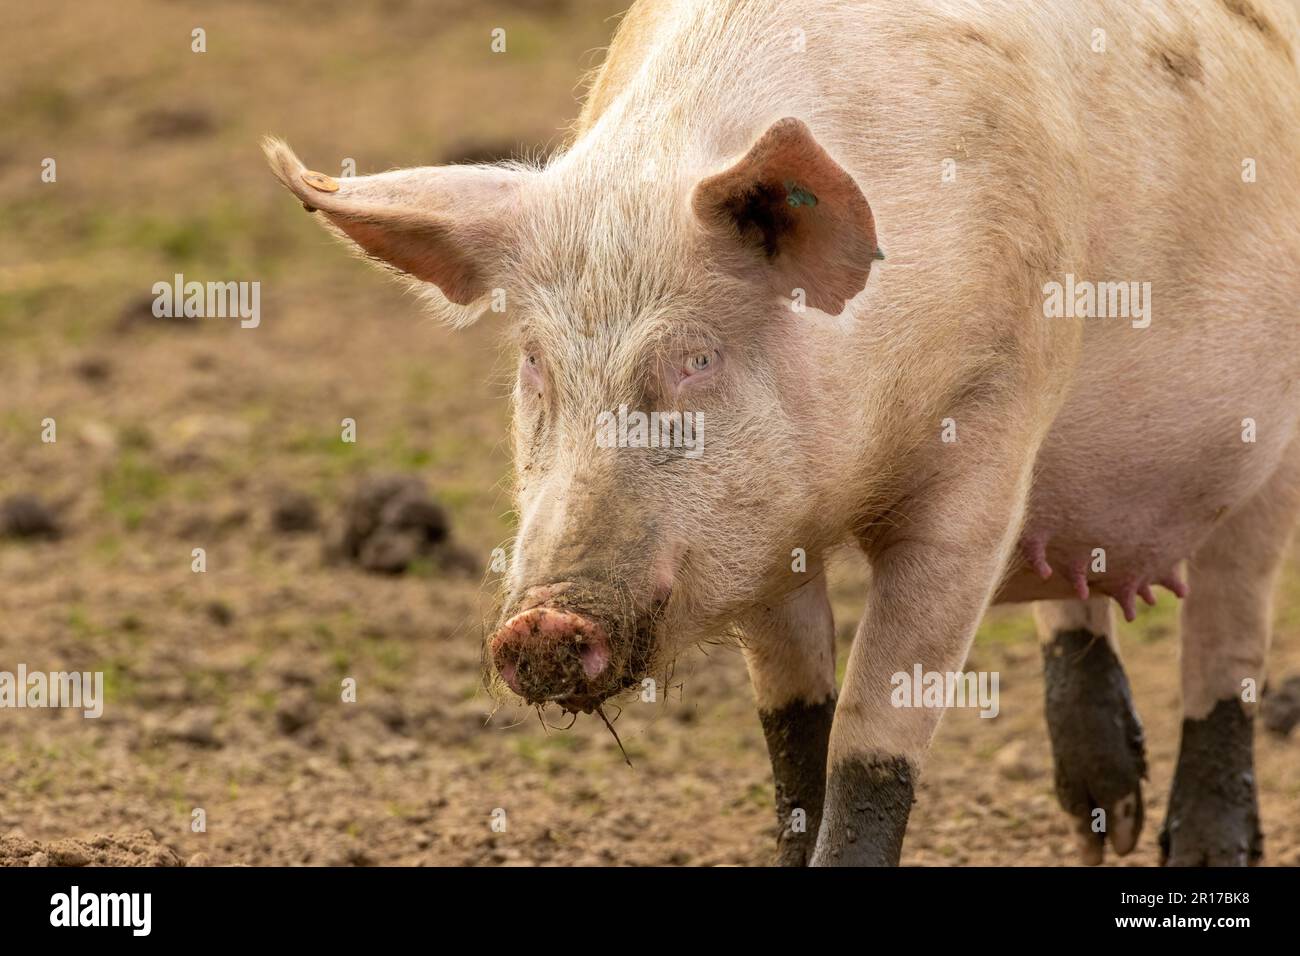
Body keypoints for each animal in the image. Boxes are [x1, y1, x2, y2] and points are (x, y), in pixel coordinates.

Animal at [265, 0, 1300, 866]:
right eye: (533, 362)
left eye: (696, 359)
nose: (542, 623)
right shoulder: (756, 528)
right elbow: (797, 729)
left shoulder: (987, 444)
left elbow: (871, 746)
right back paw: (1103, 828)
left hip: (1272, 457)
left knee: (1230, 627)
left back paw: (1201, 855)